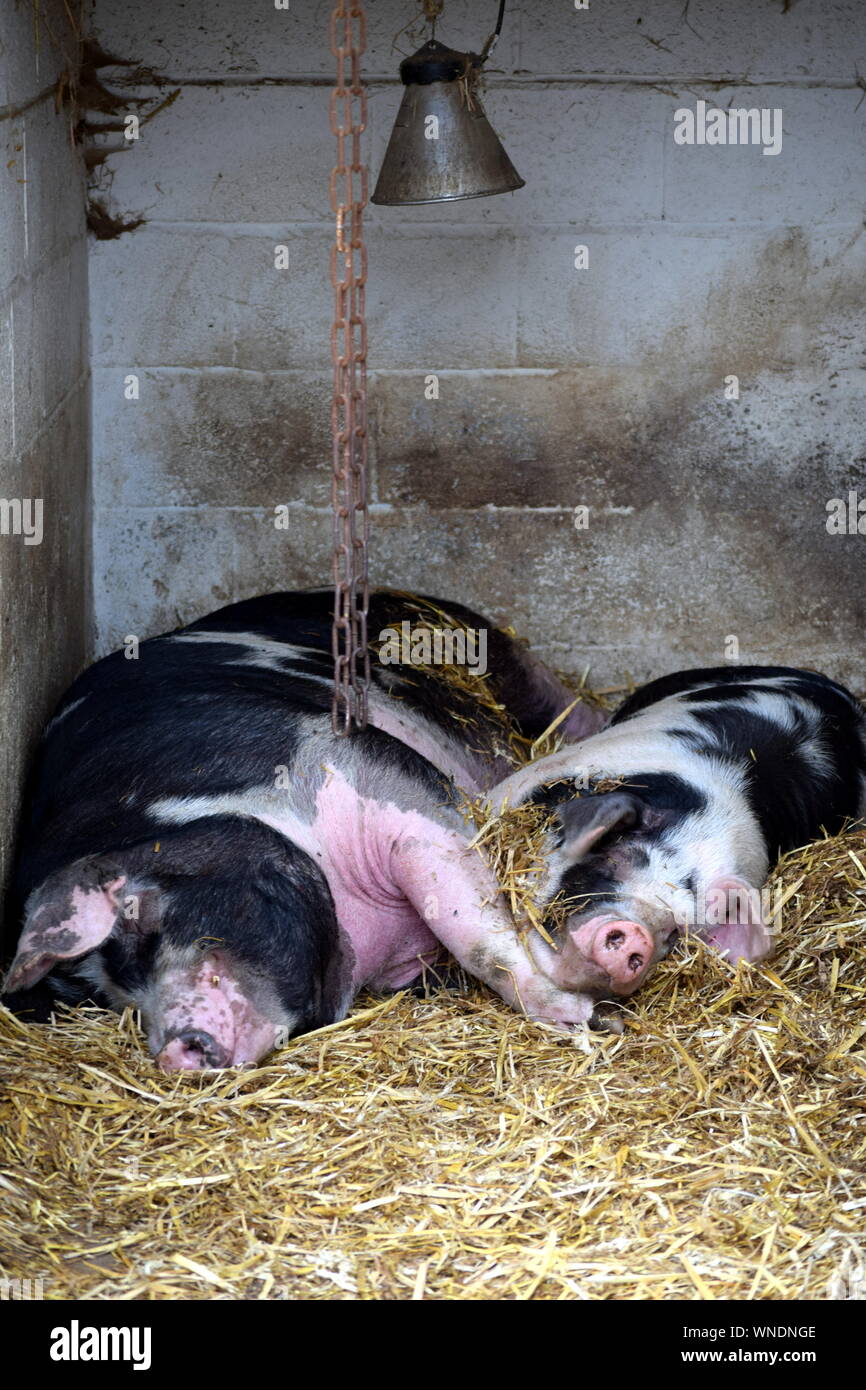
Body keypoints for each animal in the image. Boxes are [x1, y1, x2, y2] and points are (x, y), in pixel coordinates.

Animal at [1, 589, 604, 1069]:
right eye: (104, 996)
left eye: (142, 918)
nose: (174, 1052)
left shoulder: (369, 774)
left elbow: (476, 931)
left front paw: (583, 1016)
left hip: (498, 657)